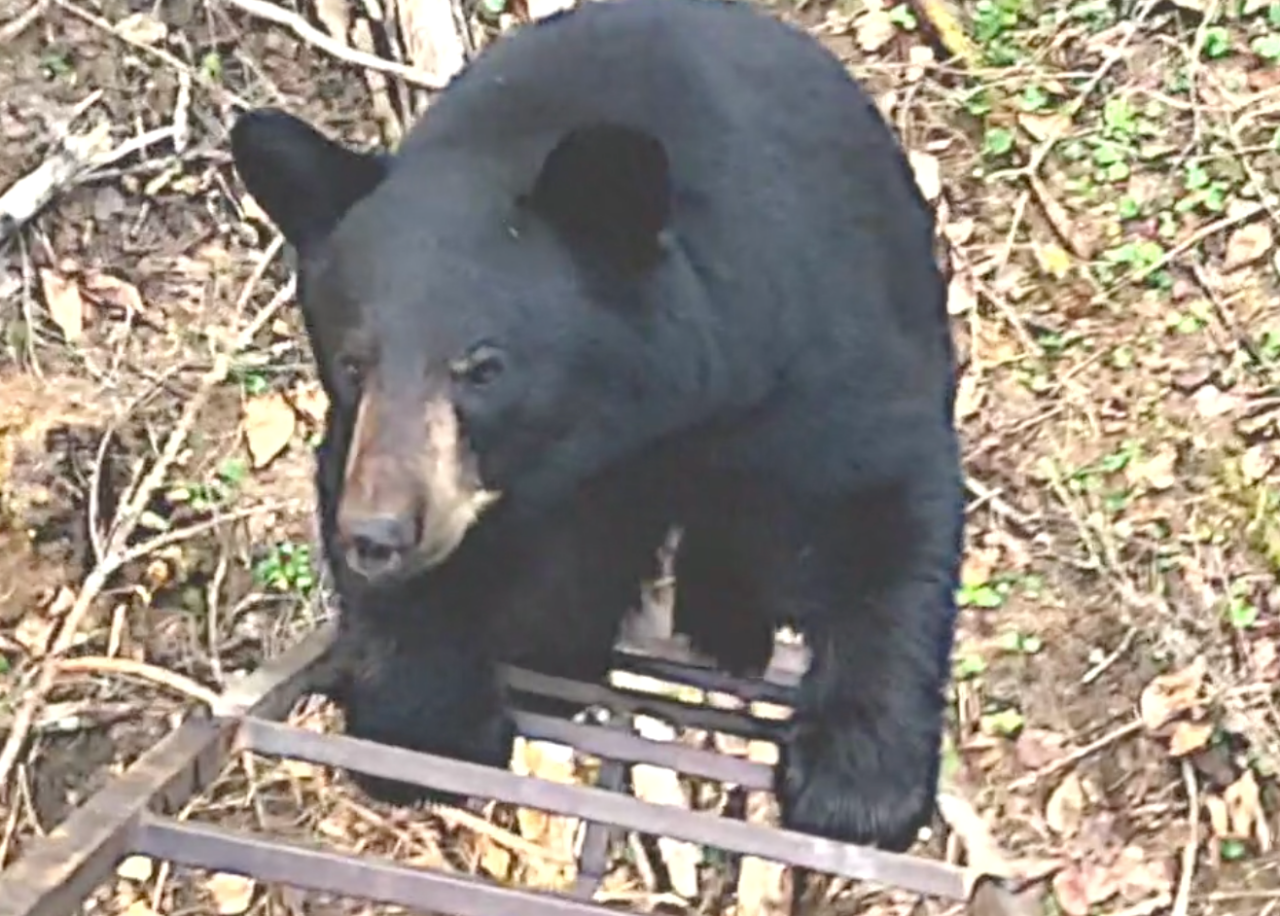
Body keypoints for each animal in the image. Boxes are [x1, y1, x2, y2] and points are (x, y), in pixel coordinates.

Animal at [228, 0, 964, 854]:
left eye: (484, 366)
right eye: (352, 362)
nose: (378, 537)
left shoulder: (813, 337)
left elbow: (876, 498)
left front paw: (858, 782)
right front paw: (426, 723)